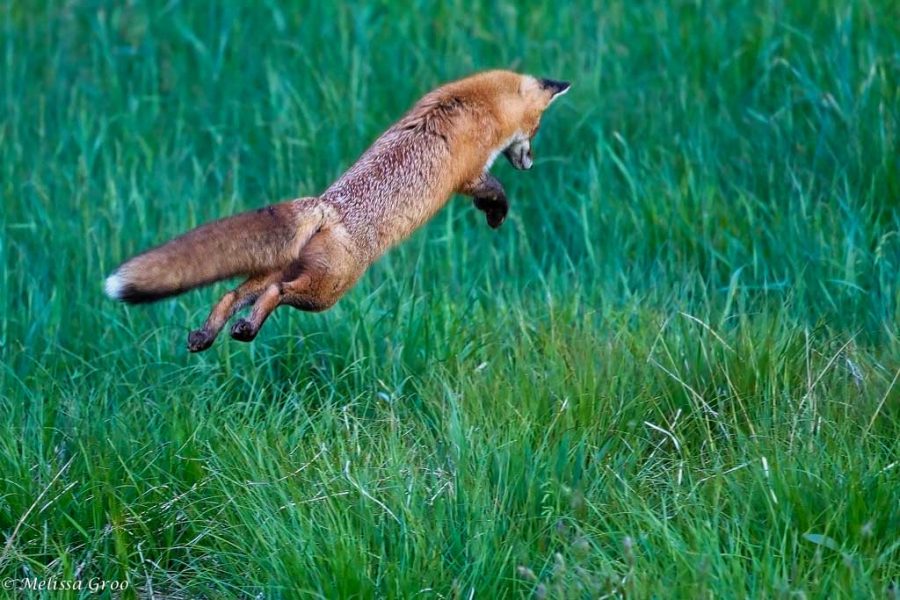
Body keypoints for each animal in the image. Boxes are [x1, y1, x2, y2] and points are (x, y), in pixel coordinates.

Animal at [104, 70, 571, 352]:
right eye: (535, 131)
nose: (530, 164)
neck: (474, 98)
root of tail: (325, 207)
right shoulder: (471, 174)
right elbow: (494, 190)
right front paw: (497, 215)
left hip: (282, 270)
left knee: (233, 294)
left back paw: (209, 333)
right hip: (326, 292)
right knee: (276, 295)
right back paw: (246, 330)